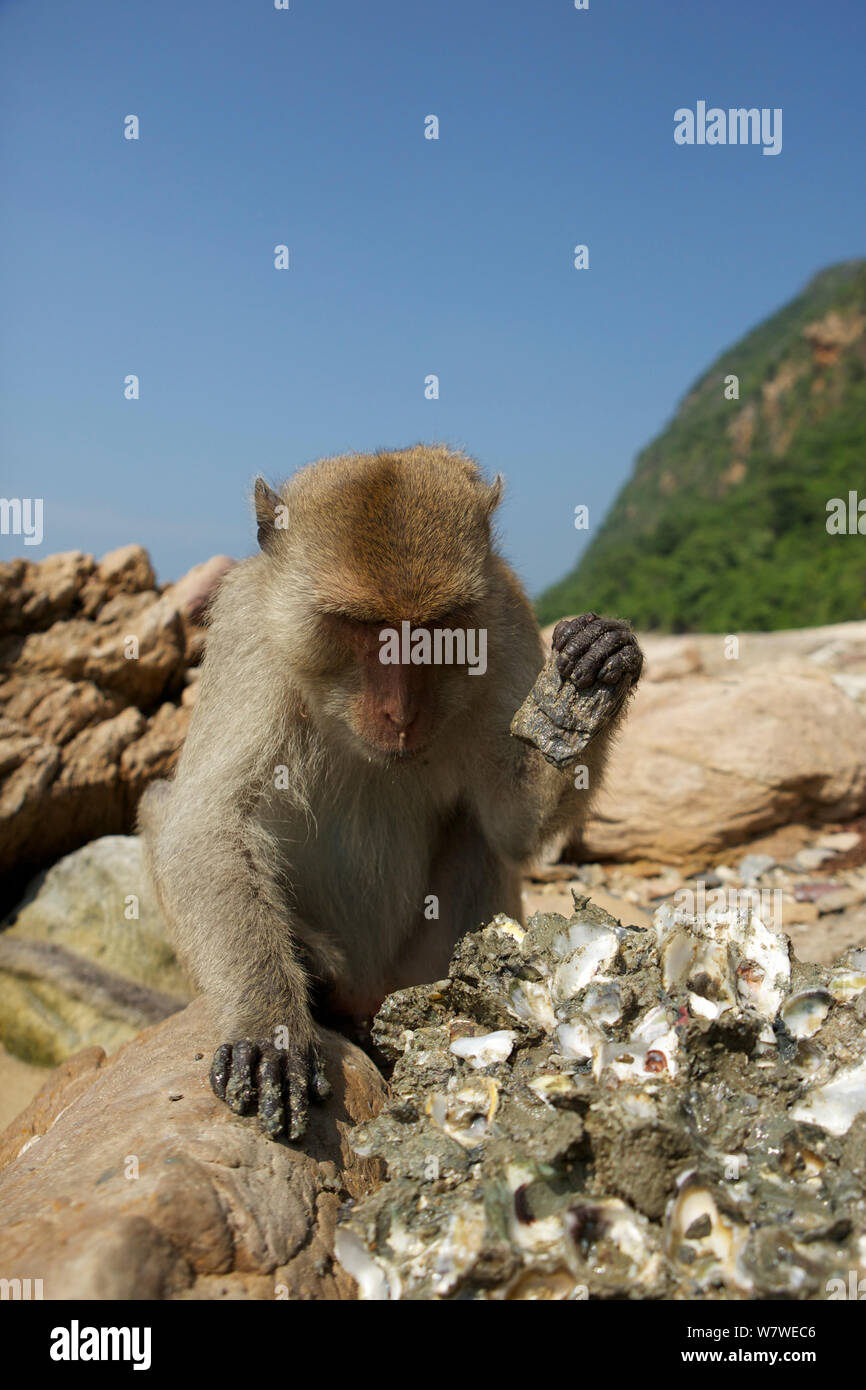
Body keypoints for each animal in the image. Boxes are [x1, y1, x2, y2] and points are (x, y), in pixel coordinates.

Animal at [140, 446, 642, 1140]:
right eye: (362, 626)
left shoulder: (504, 616)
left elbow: (511, 824)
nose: (400, 714)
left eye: (435, 628)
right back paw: (316, 976)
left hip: (415, 972)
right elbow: (208, 825)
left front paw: (596, 672)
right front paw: (269, 1025)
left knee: (478, 836)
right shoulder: (248, 634)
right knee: (164, 806)